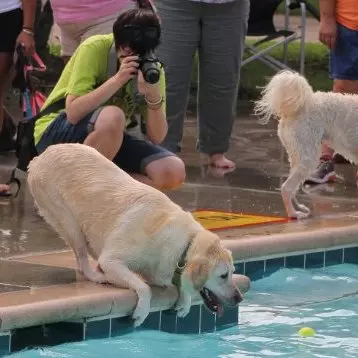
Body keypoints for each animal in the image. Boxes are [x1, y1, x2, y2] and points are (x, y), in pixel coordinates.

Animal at [28, 143, 243, 328]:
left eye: (233, 272)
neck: (184, 243)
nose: (240, 298)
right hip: (66, 218)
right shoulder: (112, 261)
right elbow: (144, 287)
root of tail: (40, 156)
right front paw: (141, 312)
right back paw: (95, 275)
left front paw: (185, 301)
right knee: (80, 252)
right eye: (223, 275)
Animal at [255, 70, 358, 220]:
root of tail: (300, 106)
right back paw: (293, 214)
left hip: (298, 153)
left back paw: (299, 208)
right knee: (287, 188)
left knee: (292, 188)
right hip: (307, 156)